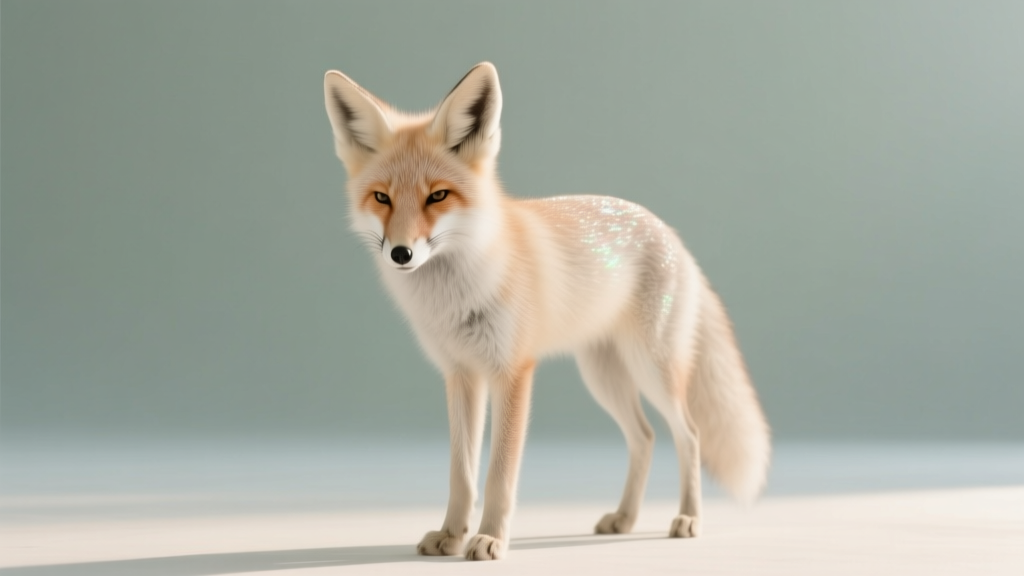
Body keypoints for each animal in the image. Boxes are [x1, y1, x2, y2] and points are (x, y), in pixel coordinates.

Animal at [322, 62, 770, 561]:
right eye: (381, 198)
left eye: (438, 196)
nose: (400, 254)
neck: (459, 293)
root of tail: (669, 232)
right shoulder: (461, 375)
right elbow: (461, 474)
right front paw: (452, 535)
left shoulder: (512, 372)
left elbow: (499, 475)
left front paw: (490, 538)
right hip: (603, 378)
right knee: (645, 438)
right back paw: (625, 518)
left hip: (652, 369)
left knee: (688, 435)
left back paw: (688, 518)